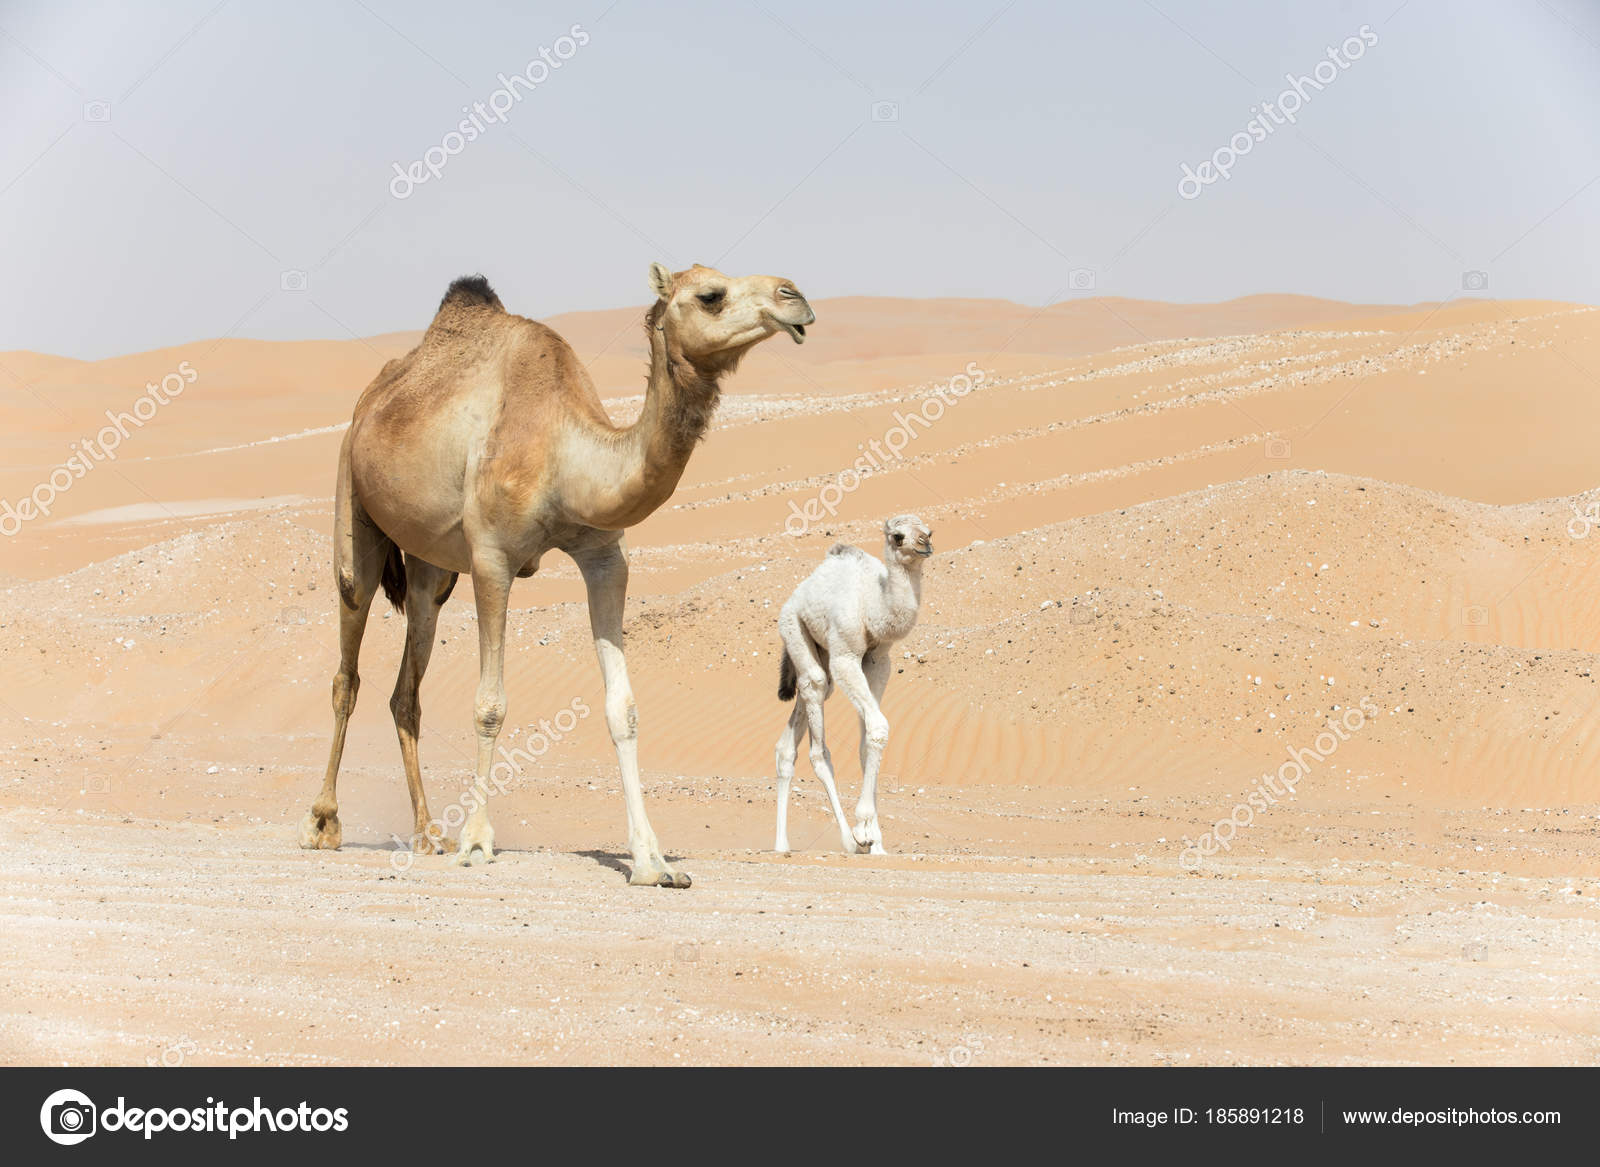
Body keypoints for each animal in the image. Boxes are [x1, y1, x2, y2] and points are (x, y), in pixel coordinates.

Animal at [298, 263, 815, 887]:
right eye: (710, 295)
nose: (795, 297)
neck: (564, 454)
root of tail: (371, 401)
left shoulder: (605, 558)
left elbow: (623, 709)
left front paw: (652, 860)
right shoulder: (492, 559)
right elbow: (490, 704)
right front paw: (477, 841)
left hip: (430, 569)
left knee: (407, 688)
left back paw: (426, 833)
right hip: (353, 502)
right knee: (347, 667)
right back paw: (324, 823)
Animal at [773, 514, 932, 855]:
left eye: (928, 530)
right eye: (898, 536)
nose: (925, 545)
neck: (873, 602)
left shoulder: (878, 660)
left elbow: (867, 739)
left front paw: (877, 841)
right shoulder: (845, 655)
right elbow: (879, 727)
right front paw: (863, 831)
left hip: (818, 652)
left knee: (789, 739)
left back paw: (781, 844)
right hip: (793, 628)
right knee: (818, 737)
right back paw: (848, 839)